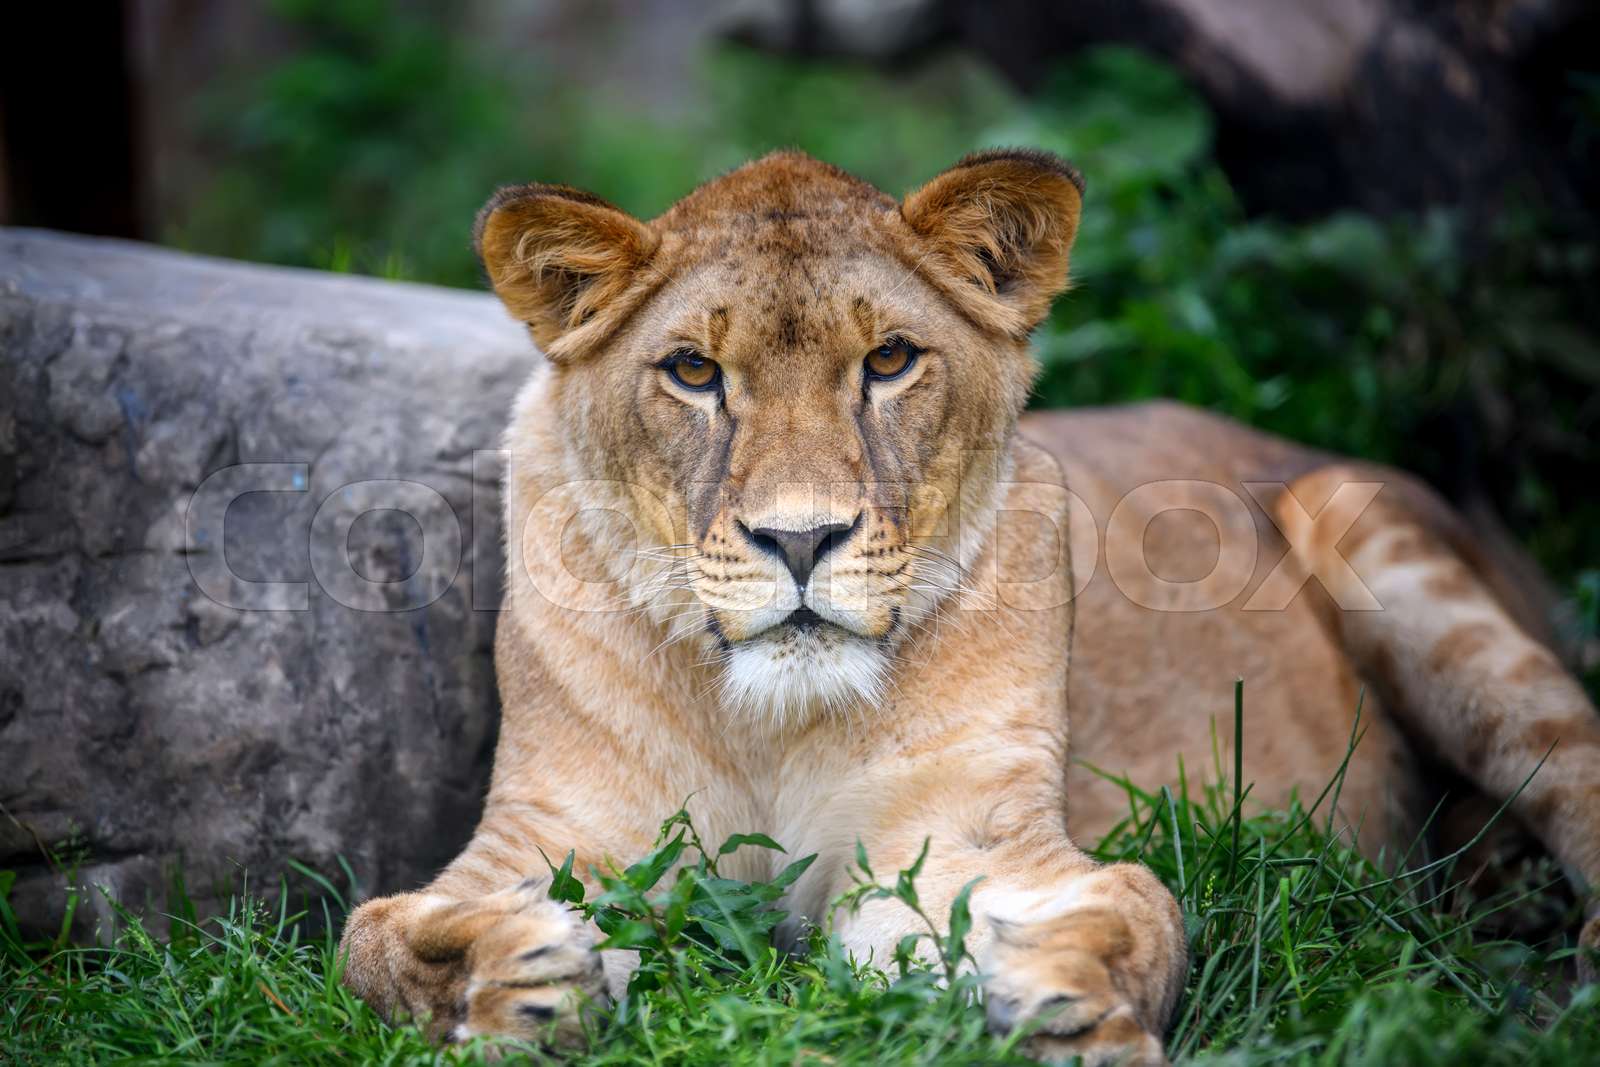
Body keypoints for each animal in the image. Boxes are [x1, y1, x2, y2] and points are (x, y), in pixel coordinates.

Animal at [338, 149, 1600, 1065]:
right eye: (693, 373)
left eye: (890, 359)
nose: (800, 538)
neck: (772, 723)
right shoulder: (544, 833)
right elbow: (372, 935)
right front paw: (511, 978)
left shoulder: (958, 840)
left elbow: (1134, 904)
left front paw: (1073, 1002)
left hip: (1378, 537)